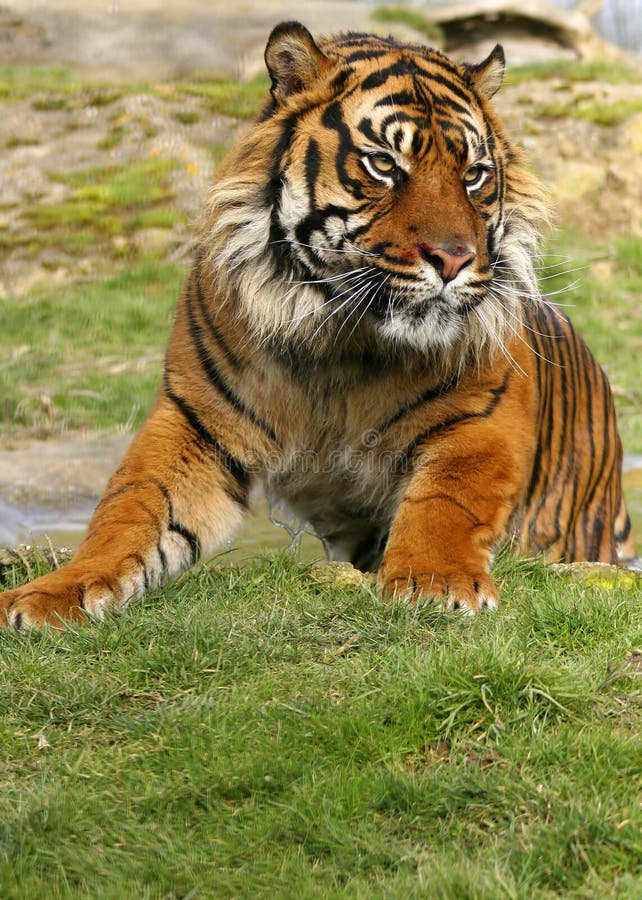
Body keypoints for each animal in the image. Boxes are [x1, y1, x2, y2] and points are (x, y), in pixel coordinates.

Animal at [1, 21, 637, 628]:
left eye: (474, 174)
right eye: (384, 164)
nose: (454, 258)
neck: (342, 339)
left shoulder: (482, 417)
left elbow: (447, 504)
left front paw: (437, 583)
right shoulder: (195, 421)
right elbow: (130, 506)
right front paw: (52, 595)